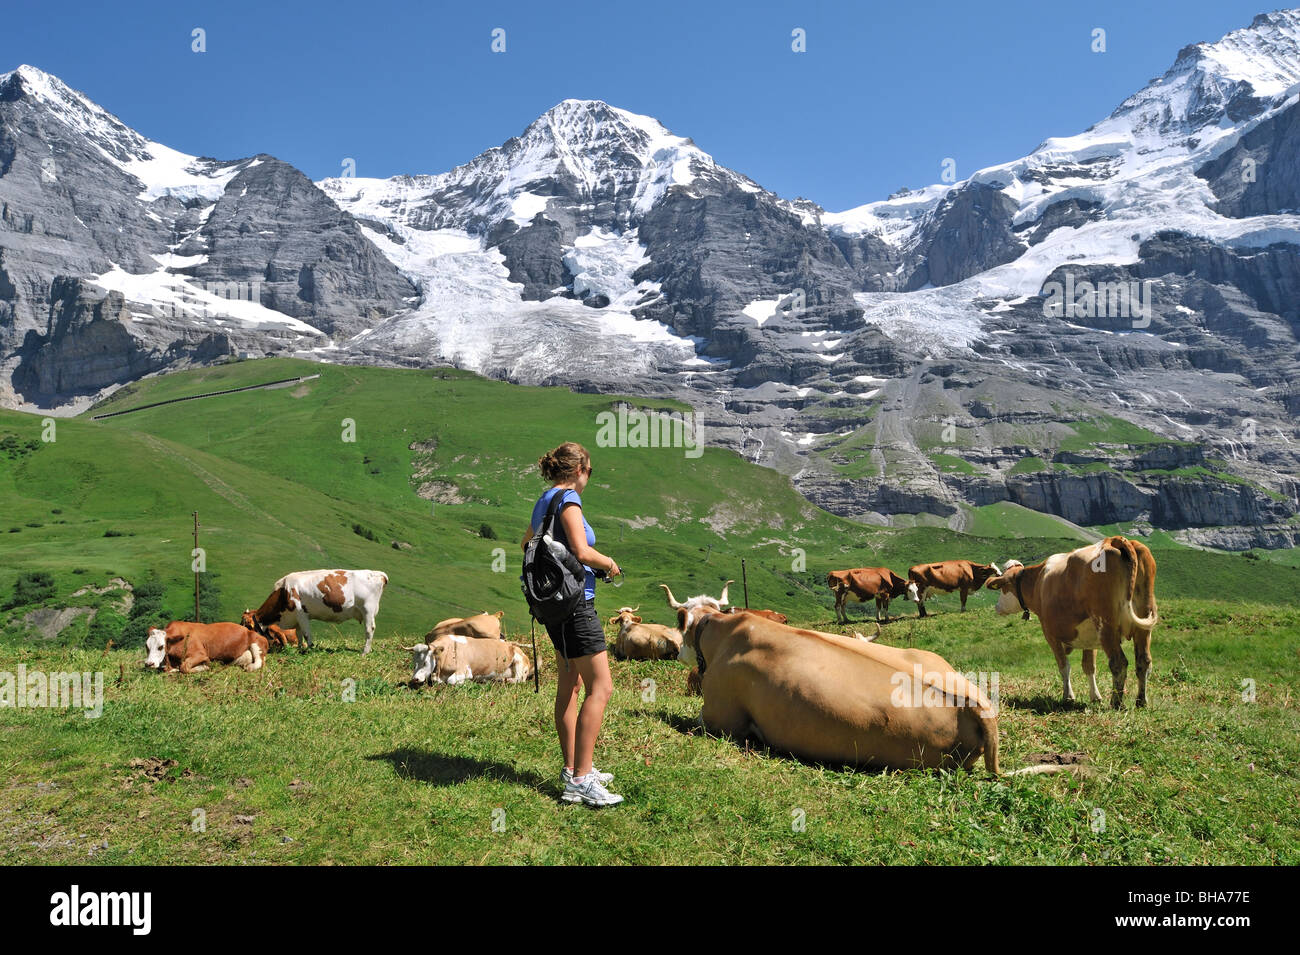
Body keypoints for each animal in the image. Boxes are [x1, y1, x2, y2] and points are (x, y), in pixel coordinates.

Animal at [243, 569, 388, 655]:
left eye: (247, 627)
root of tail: (379, 574)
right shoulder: (296, 618)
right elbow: (299, 634)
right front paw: (300, 648)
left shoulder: (301, 613)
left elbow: (306, 634)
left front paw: (309, 649)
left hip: (367, 609)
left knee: (369, 629)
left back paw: (365, 652)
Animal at [404, 634, 534, 686]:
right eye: (414, 663)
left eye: (425, 662)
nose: (415, 679)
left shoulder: (465, 670)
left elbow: (451, 680)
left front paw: (466, 682)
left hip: (518, 661)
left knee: (519, 679)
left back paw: (506, 681)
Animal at [985, 536, 1157, 709]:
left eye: (1002, 589)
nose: (997, 607)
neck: (1038, 582)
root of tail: (1114, 540)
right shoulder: (1089, 636)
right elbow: (1089, 666)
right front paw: (1095, 697)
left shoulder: (1050, 634)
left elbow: (1064, 666)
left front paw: (1068, 697)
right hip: (1142, 626)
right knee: (1144, 662)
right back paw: (1141, 701)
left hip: (1106, 626)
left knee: (1119, 662)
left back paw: (1116, 703)